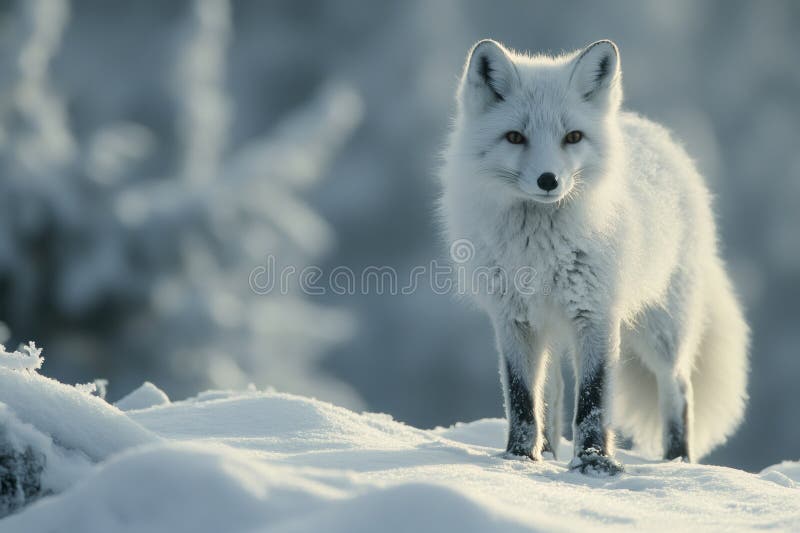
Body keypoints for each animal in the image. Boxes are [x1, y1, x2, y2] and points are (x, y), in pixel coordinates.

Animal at [438, 39, 749, 474]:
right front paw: (519, 457)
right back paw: (548, 450)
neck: (539, 250)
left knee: (679, 388)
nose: (548, 180)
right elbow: (522, 398)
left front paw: (593, 462)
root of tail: (653, 131)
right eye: (515, 137)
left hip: (662, 330)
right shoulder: (513, 318)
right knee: (551, 390)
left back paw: (678, 461)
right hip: (552, 329)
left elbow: (592, 399)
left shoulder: (596, 313)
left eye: (573, 136)